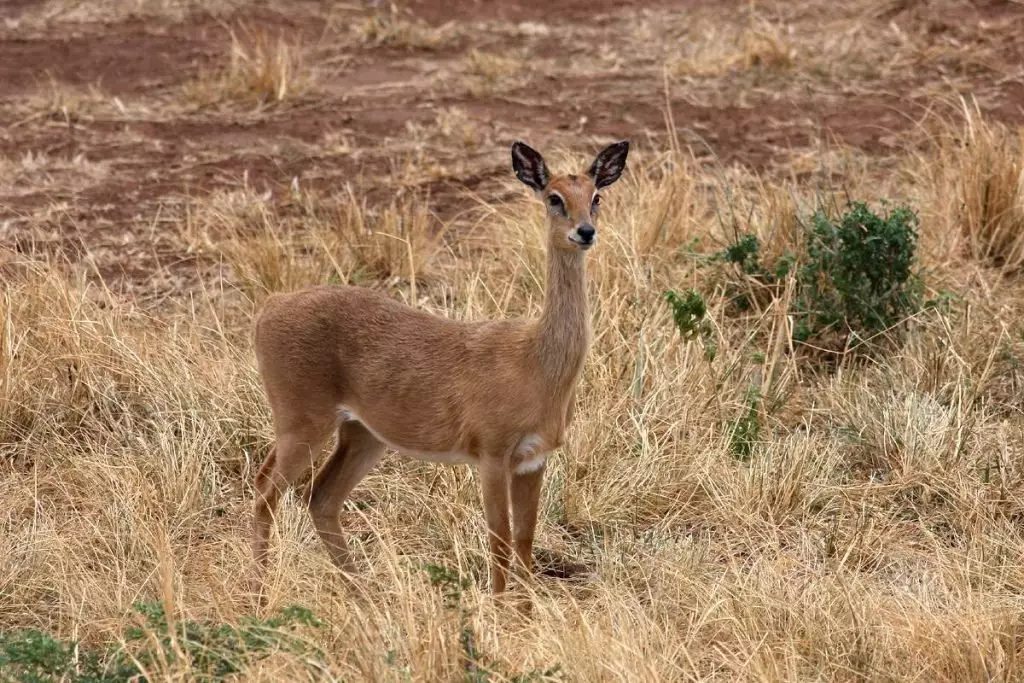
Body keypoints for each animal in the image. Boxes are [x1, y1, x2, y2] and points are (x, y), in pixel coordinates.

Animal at [251, 139, 626, 593]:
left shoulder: (533, 459)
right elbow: (499, 541)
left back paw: (363, 590)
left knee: (321, 497)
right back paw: (259, 590)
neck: (537, 363)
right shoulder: (492, 455)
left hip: (362, 435)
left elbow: (524, 540)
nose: (585, 231)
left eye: (596, 196)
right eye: (554, 197)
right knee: (265, 490)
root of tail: (270, 307)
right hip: (302, 423)